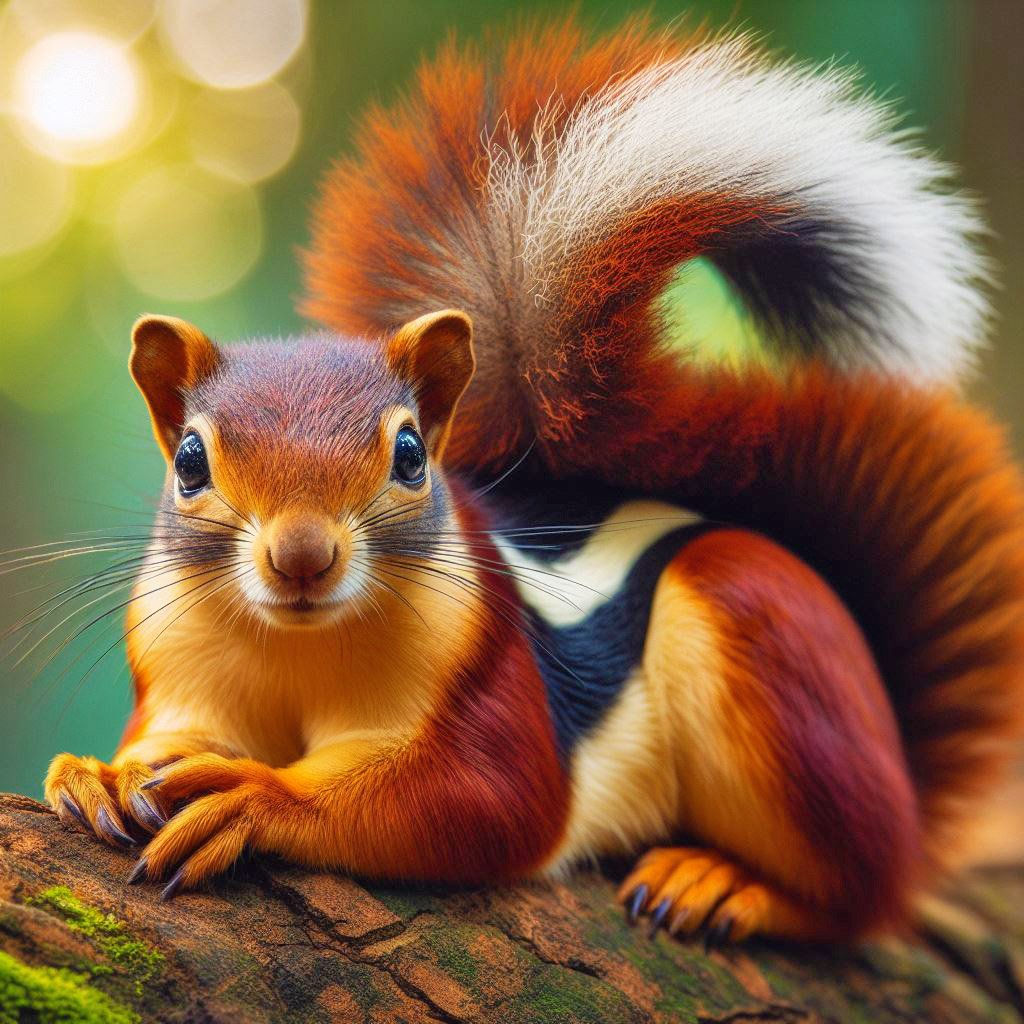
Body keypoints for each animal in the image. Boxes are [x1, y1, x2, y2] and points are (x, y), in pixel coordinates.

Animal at [43, 16, 1024, 945]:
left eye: (411, 454)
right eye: (190, 462)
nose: (302, 557)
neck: (298, 645)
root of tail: (896, 759)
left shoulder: (492, 667)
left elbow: (490, 796)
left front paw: (255, 795)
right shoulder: (178, 661)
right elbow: (167, 737)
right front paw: (97, 771)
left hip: (766, 645)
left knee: (865, 900)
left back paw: (724, 882)